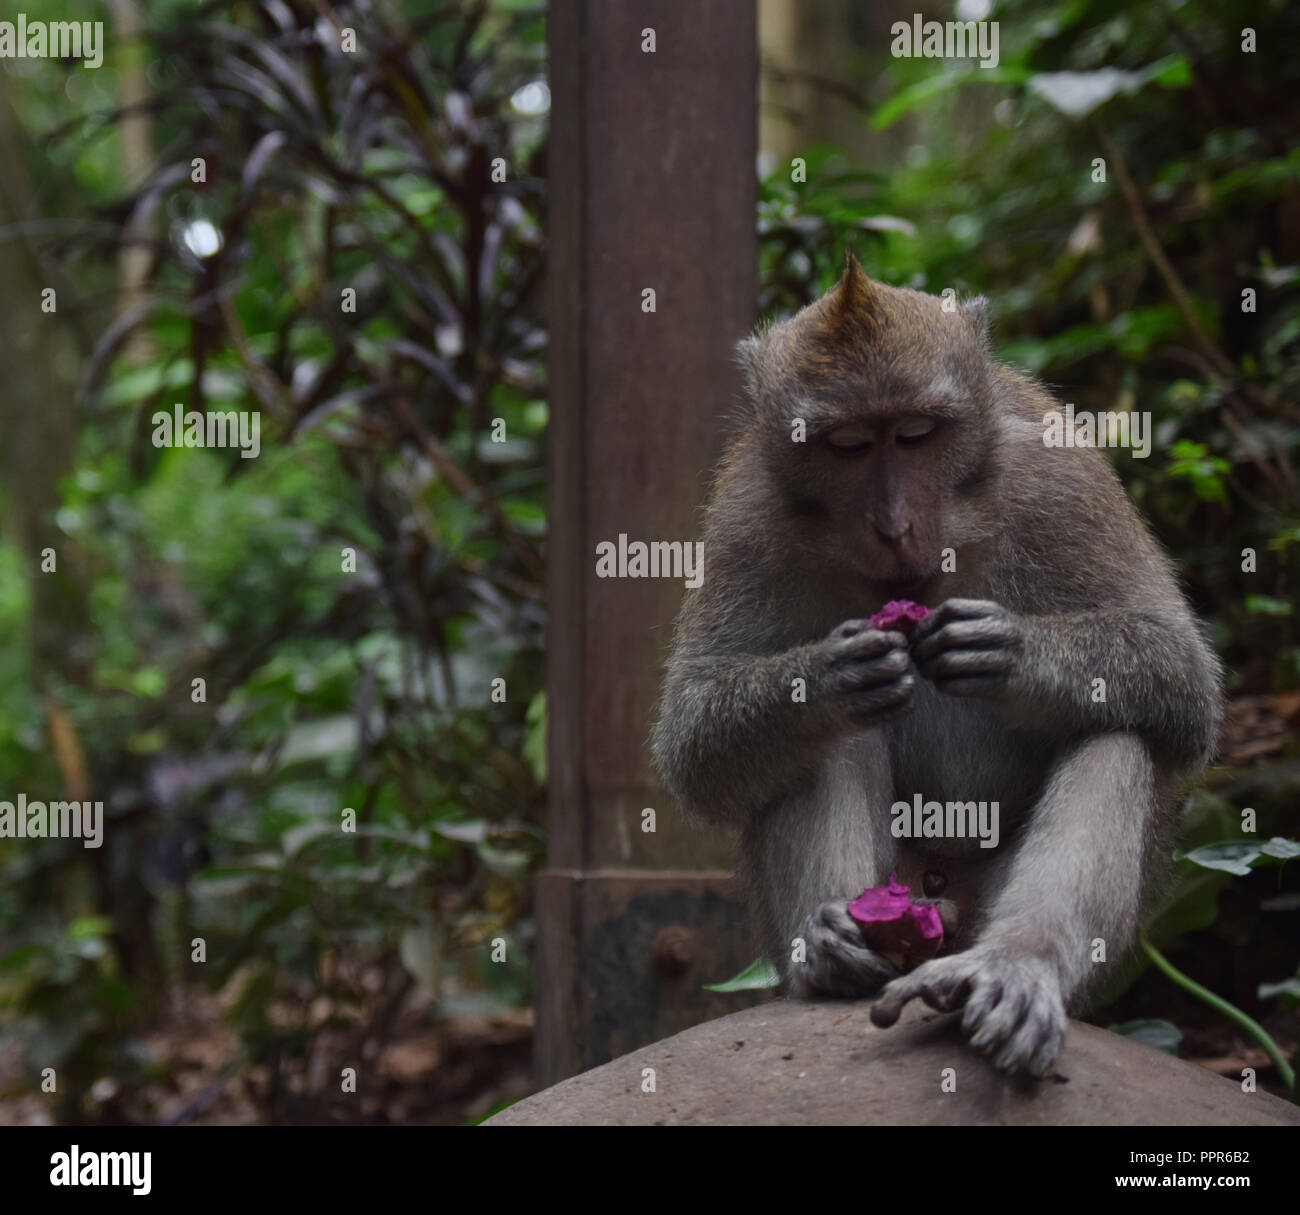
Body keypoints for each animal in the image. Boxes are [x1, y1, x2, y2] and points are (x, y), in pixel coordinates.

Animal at [650, 256, 1223, 1077]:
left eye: (917, 433)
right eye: (848, 444)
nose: (893, 525)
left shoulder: (1058, 478)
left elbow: (1181, 676)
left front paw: (1010, 651)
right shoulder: (745, 517)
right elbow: (694, 738)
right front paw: (830, 674)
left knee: (1115, 731)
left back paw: (1015, 963)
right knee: (829, 737)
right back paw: (833, 948)